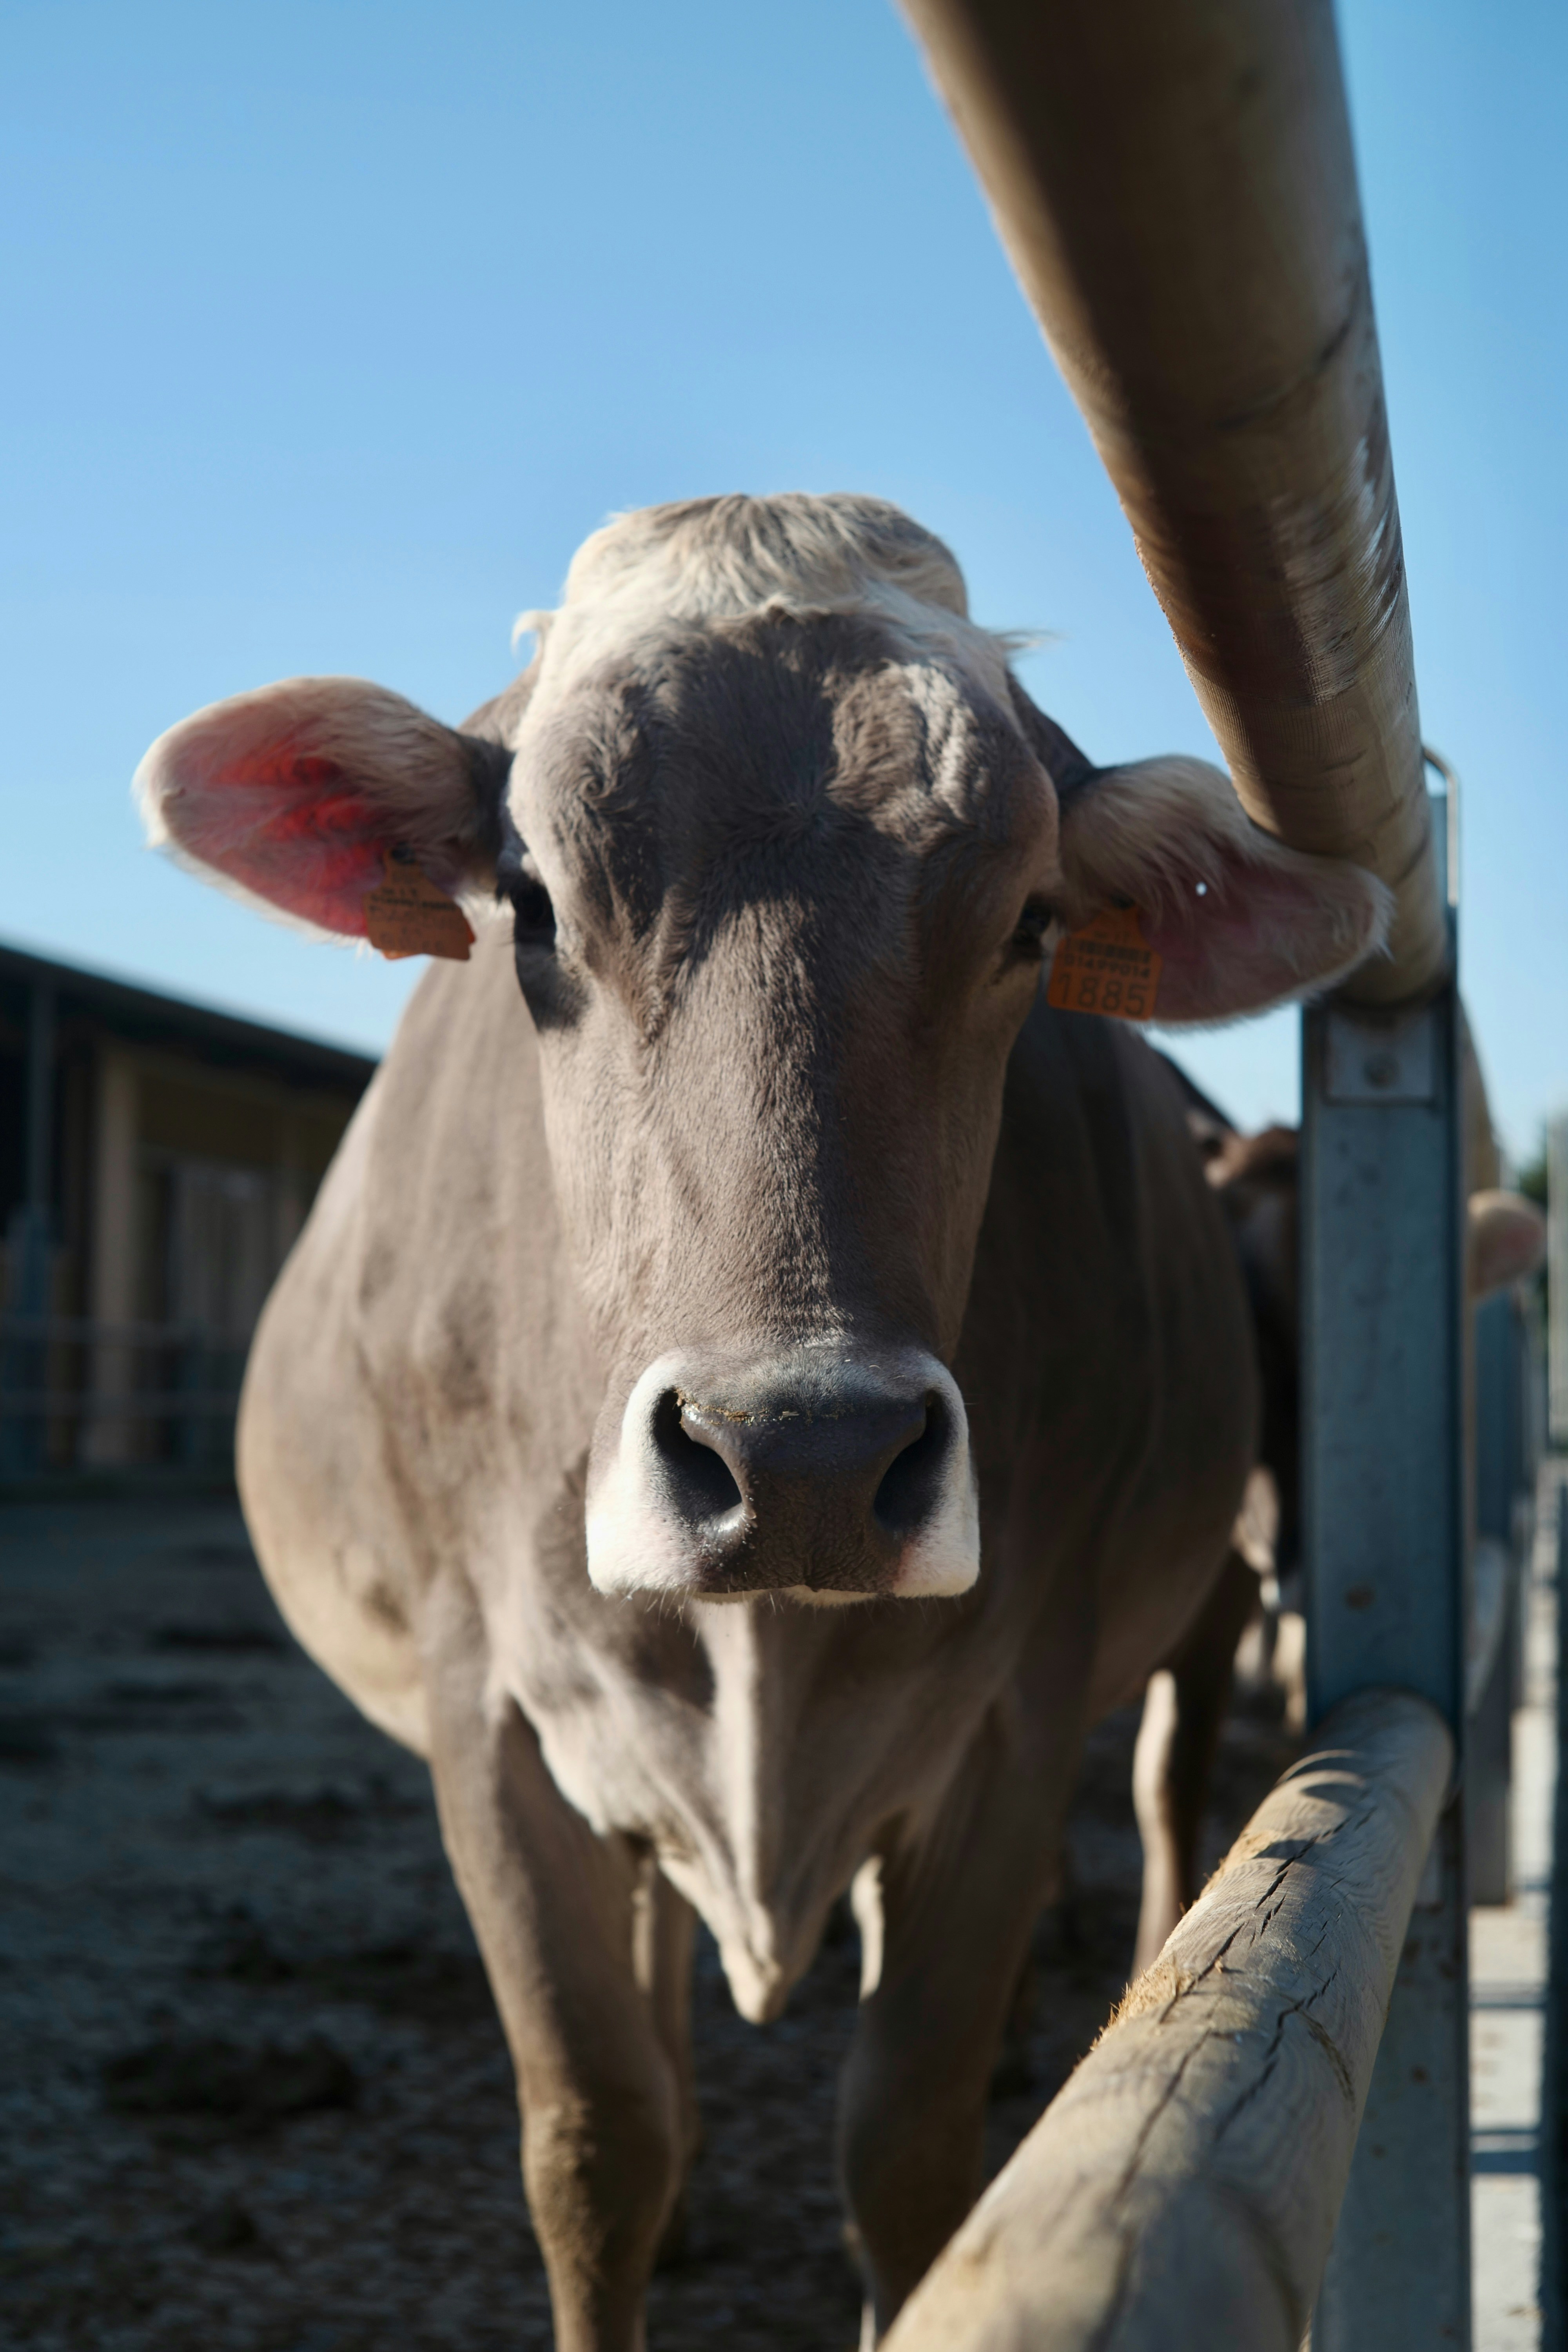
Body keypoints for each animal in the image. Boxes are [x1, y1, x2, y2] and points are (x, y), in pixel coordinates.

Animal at [136, 494, 1387, 2349]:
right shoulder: (482, 1710)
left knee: (1168, 1792)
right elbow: (597, 2137)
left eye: (1029, 920)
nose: (801, 1452)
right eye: (527, 900)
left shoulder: (1010, 1711)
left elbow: (908, 2143)